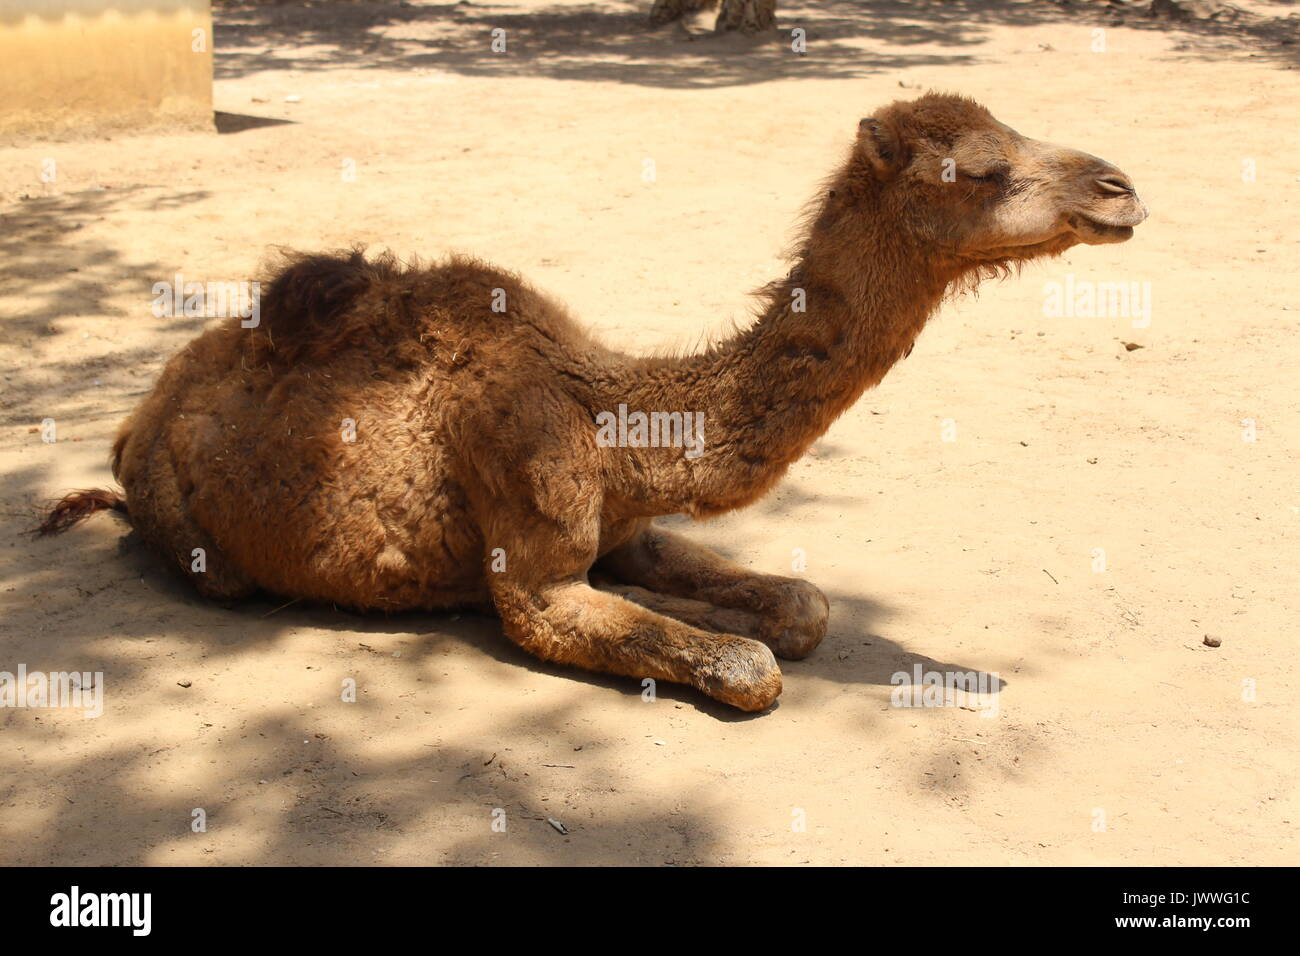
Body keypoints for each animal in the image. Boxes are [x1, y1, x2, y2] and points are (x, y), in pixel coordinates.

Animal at [40, 94, 1147, 711]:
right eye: (984, 168)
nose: (1120, 188)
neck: (616, 416)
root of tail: (138, 420)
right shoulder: (536, 562)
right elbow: (745, 662)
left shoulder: (630, 526)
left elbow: (800, 606)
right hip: (199, 541)